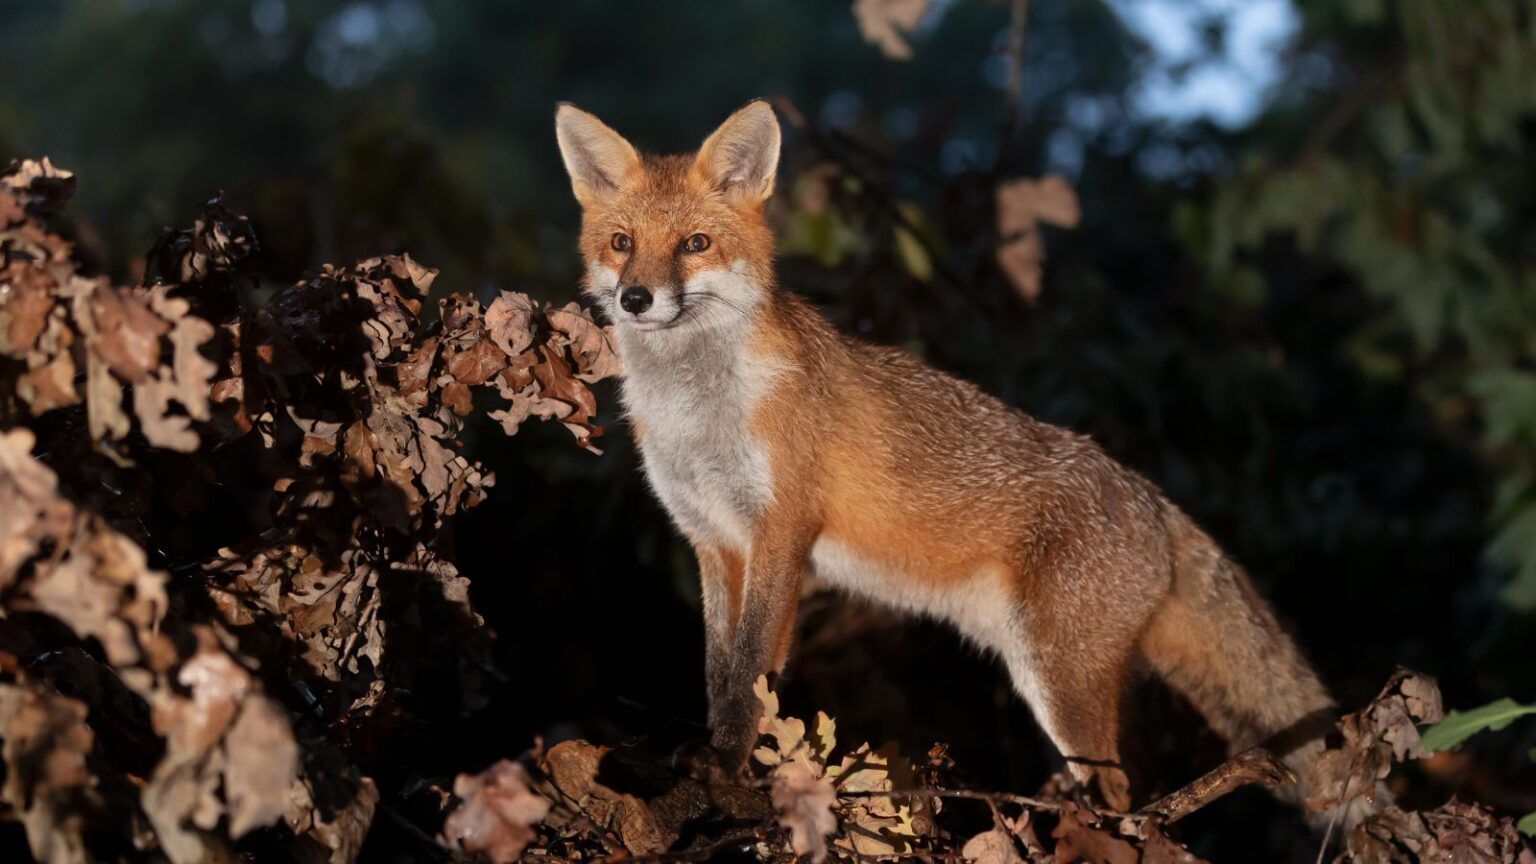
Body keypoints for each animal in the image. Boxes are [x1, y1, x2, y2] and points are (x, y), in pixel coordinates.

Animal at [554, 99, 1349, 820]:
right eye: (621, 241)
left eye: (694, 243)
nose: (636, 297)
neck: (698, 417)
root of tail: (1153, 500)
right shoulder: (715, 541)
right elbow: (721, 673)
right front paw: (716, 763)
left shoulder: (780, 533)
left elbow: (751, 673)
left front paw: (724, 773)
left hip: (1059, 679)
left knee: (1125, 797)